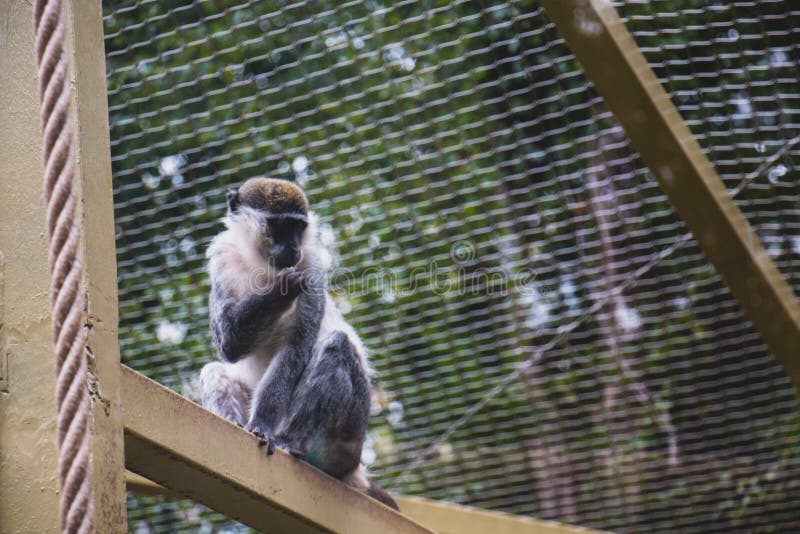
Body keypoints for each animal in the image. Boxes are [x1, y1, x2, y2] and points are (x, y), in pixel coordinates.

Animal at [199, 177, 398, 510]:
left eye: (297, 226)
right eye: (279, 225)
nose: (293, 246)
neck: (261, 265)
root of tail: (354, 468)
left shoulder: (312, 266)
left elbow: (297, 346)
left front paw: (262, 427)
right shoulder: (221, 257)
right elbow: (228, 345)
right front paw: (279, 291)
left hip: (349, 434)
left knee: (338, 344)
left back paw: (289, 441)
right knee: (213, 371)